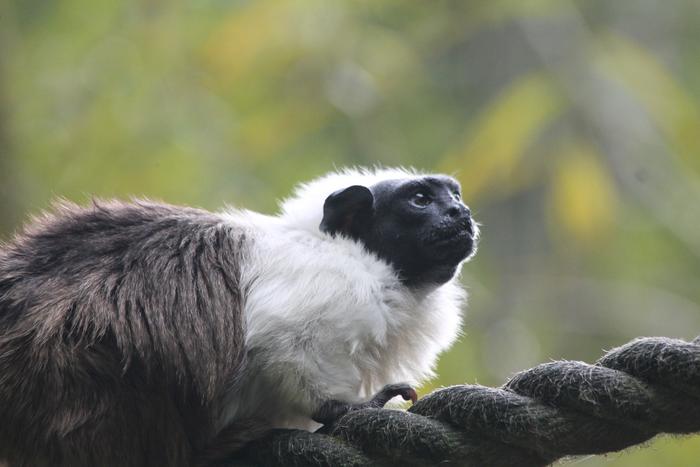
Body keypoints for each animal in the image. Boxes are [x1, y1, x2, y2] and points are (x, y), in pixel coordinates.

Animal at [0, 167, 478, 467]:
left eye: (454, 195)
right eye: (421, 200)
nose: (462, 212)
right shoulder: (330, 288)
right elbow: (283, 347)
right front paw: (348, 407)